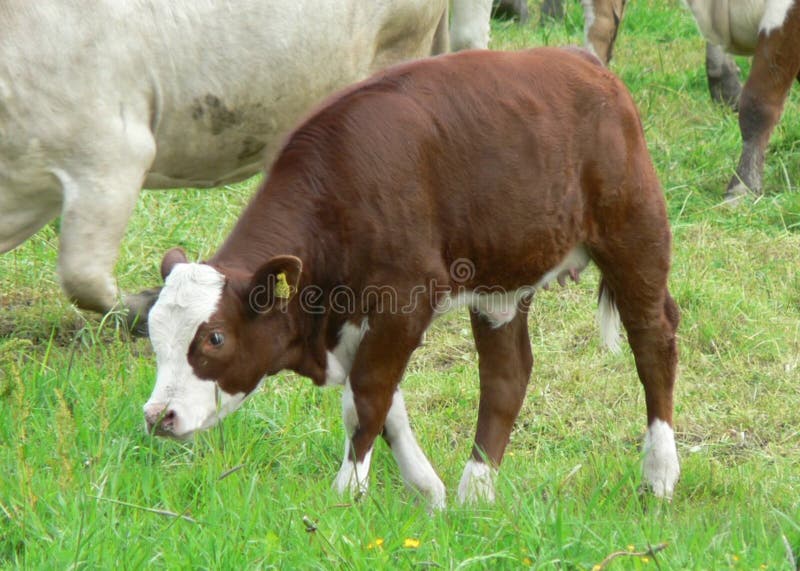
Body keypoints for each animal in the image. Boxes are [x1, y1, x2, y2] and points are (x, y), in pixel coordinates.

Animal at [143, 47, 681, 507]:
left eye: (214, 337)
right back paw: (476, 490)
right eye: (153, 335)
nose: (157, 417)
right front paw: (427, 489)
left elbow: (366, 398)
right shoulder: (359, 320)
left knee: (653, 339)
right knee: (507, 375)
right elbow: (383, 405)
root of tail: (583, 59)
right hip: (501, 280)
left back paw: (658, 473)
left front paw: (347, 492)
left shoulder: (405, 299)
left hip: (634, 231)